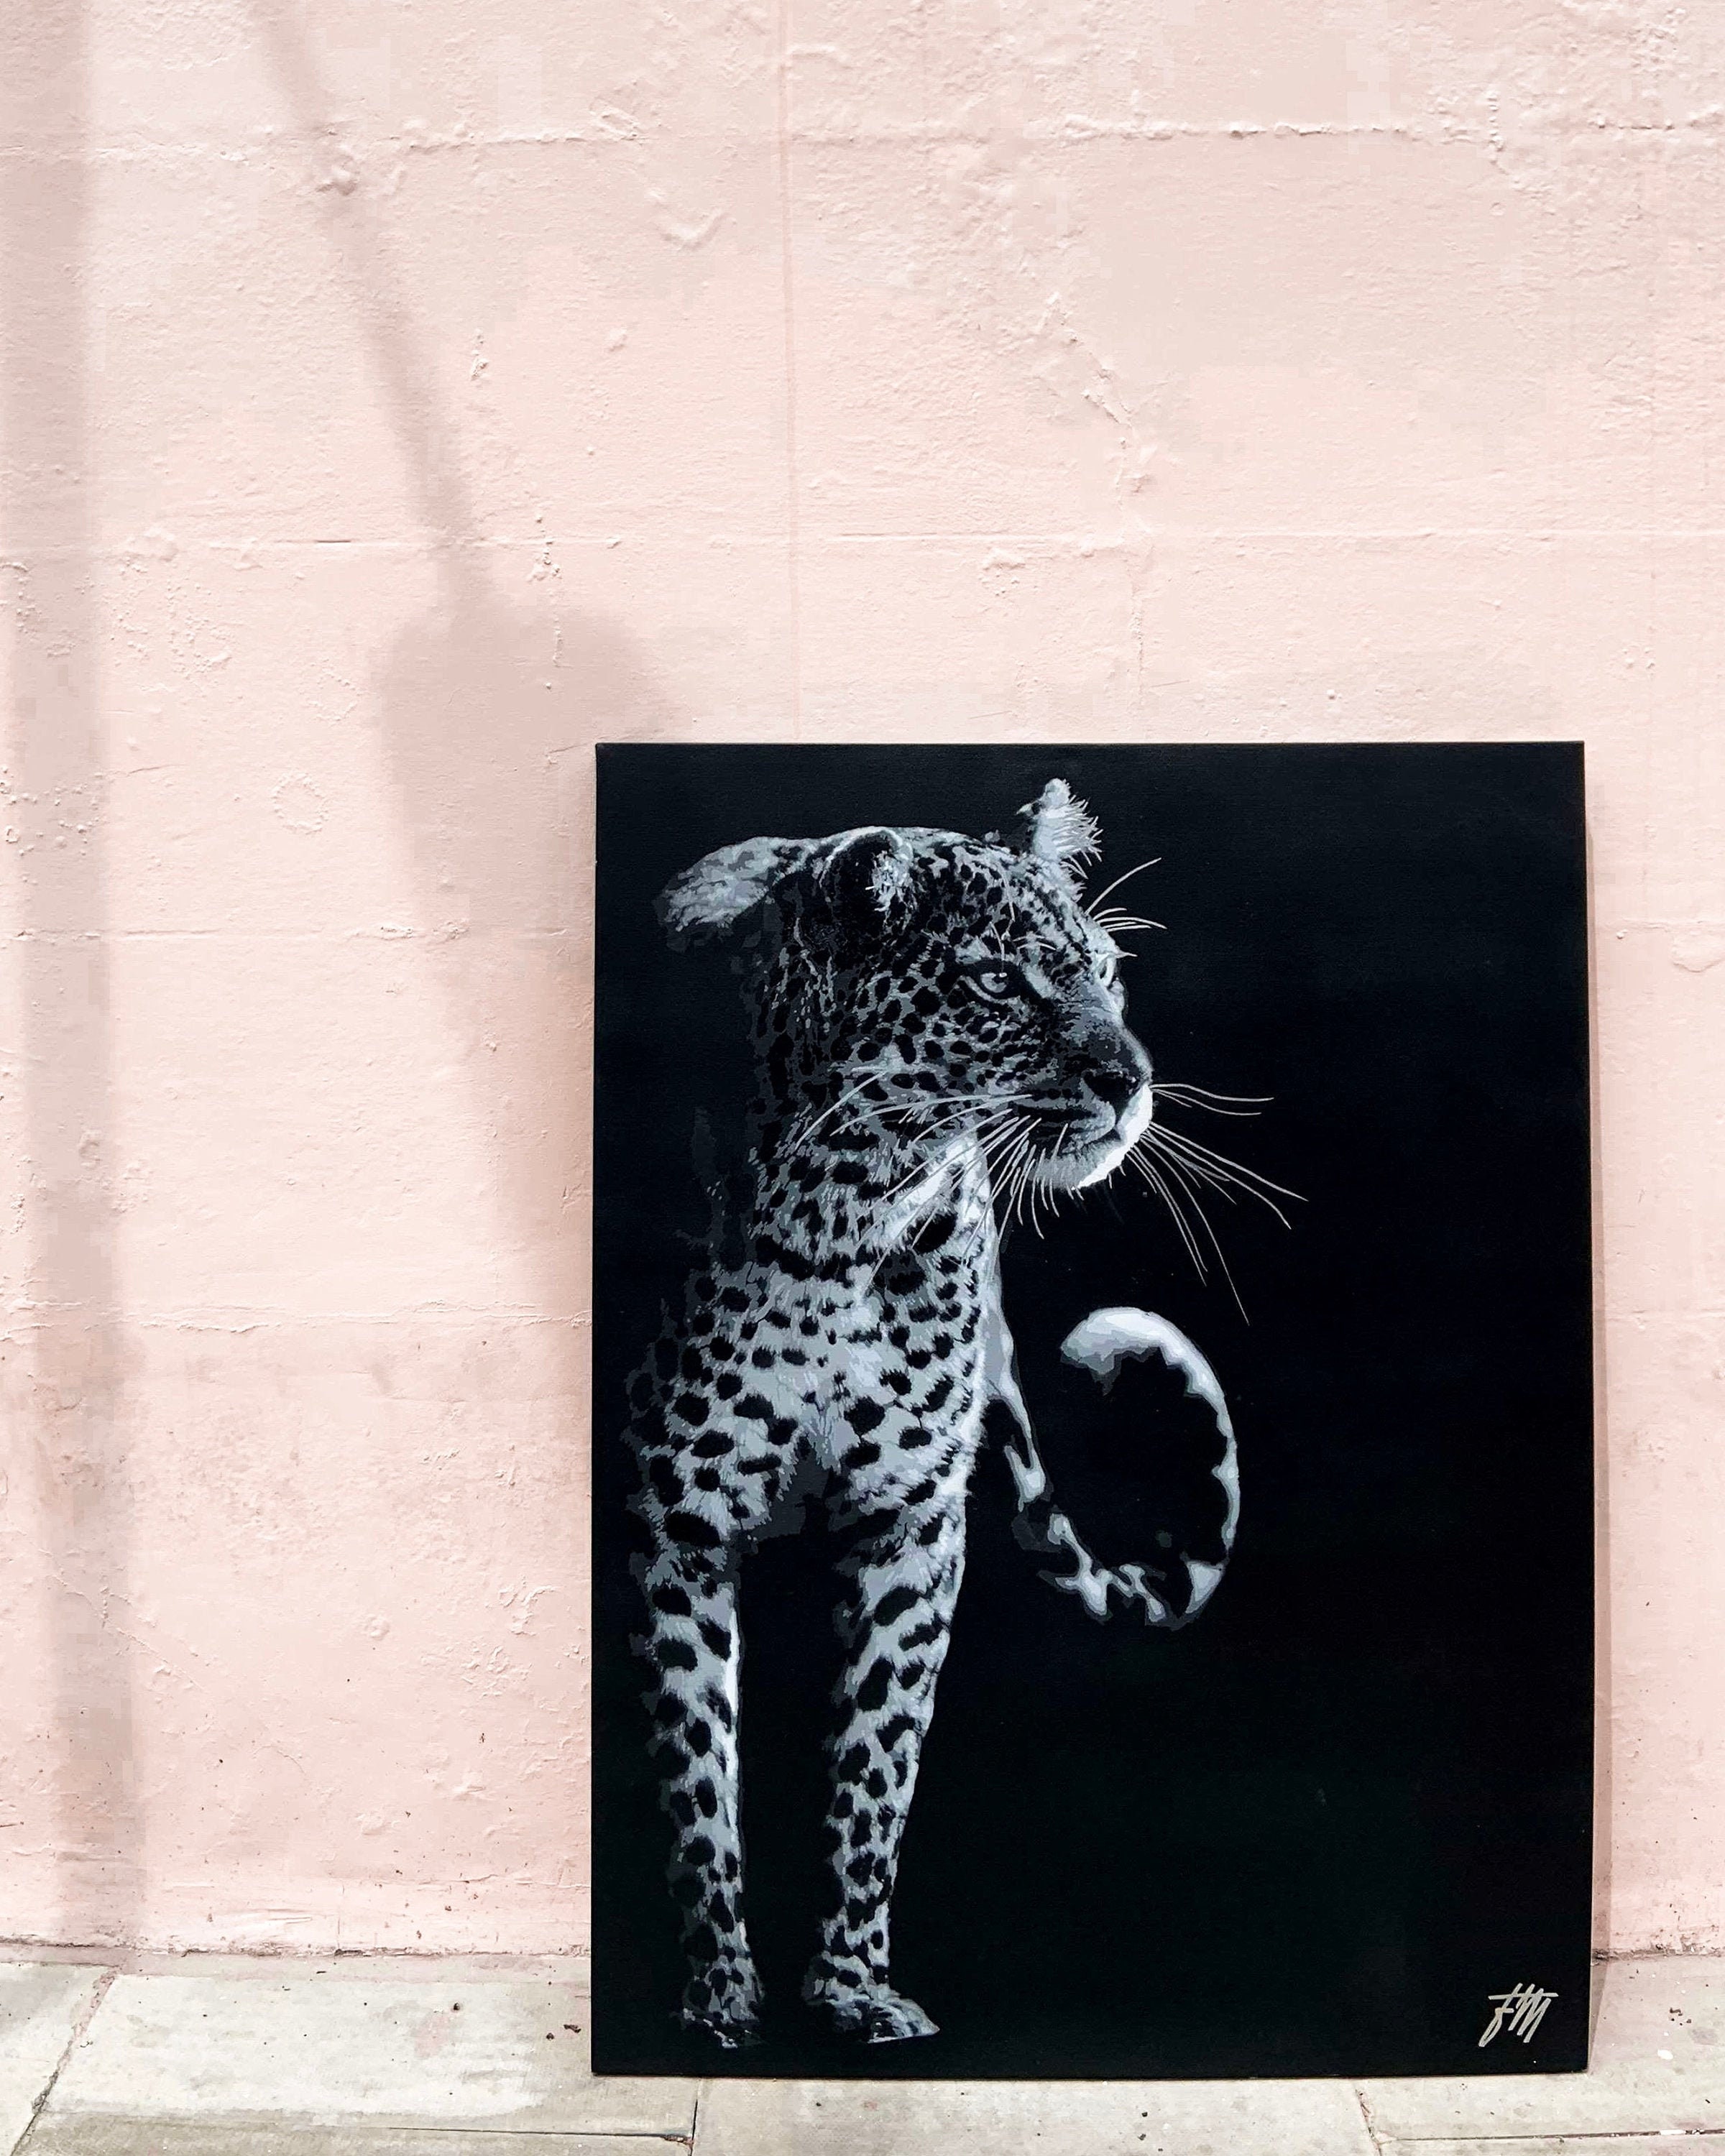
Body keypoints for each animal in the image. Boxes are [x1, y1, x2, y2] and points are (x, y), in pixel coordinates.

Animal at [623, 778, 1240, 2048]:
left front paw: (852, 1988)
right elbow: (697, 1766)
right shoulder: (676, 1519)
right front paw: (719, 1998)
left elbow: (876, 1761)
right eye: (1000, 982)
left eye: (1109, 972)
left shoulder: (910, 1522)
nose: (1131, 1081)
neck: (842, 1208)